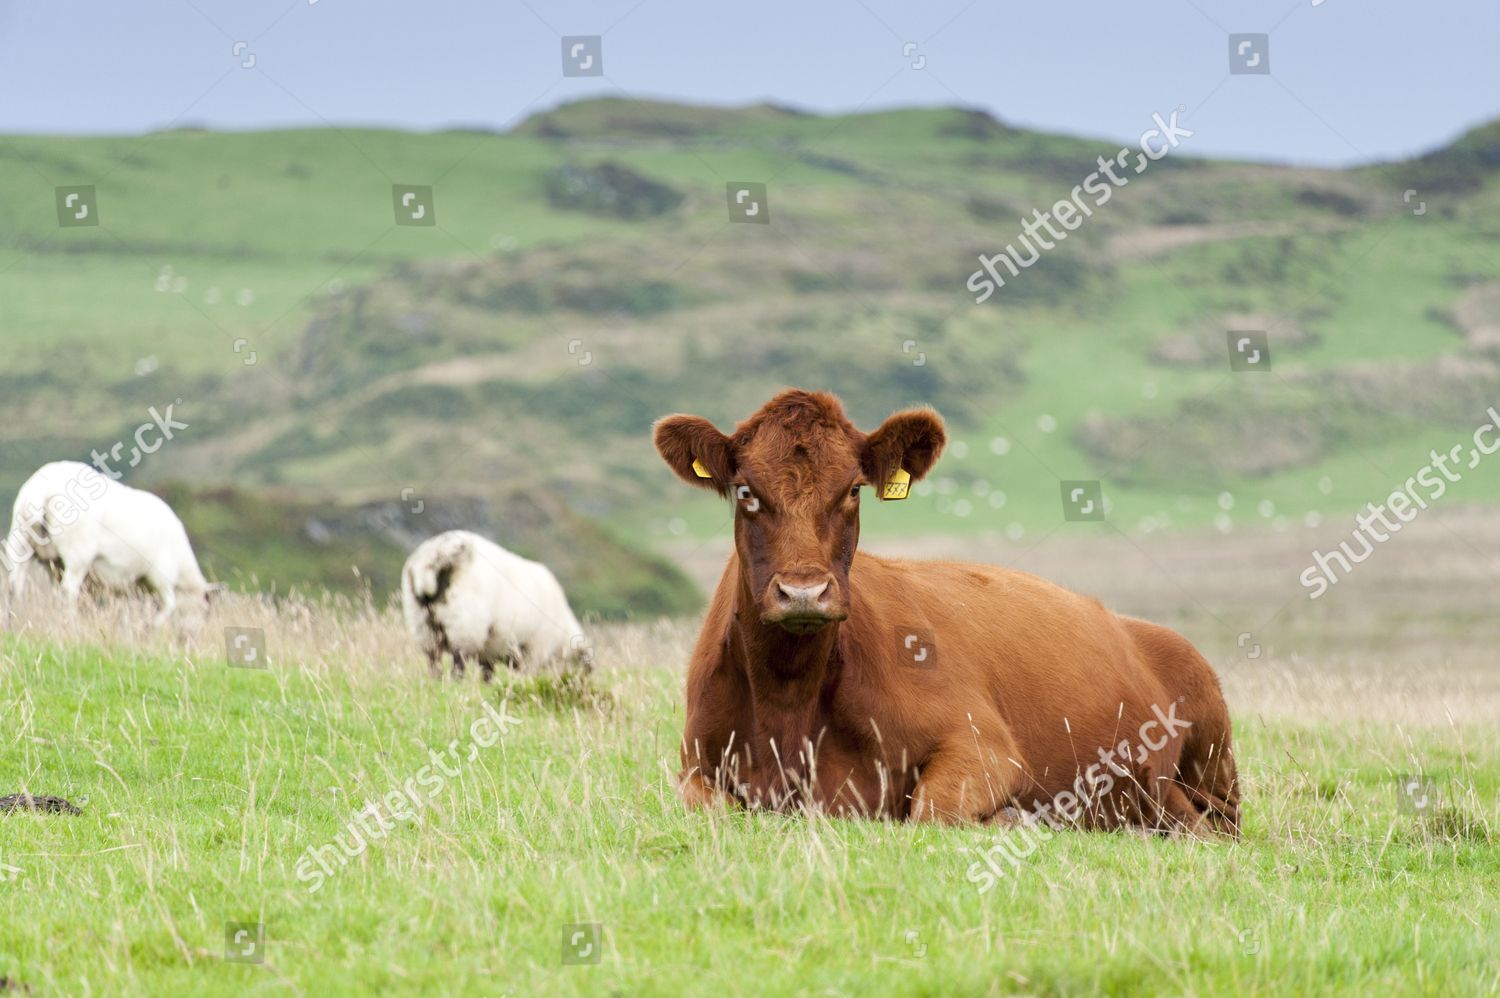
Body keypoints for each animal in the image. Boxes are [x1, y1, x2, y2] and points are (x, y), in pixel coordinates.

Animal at [4, 461, 222, 626]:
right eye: (205, 611)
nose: (188, 639)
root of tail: (41, 491)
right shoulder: (161, 576)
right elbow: (170, 605)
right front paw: (151, 627)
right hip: (77, 554)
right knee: (68, 591)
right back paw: (71, 623)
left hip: (20, 540)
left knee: (15, 585)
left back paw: (15, 623)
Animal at [401, 530, 592, 681]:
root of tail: (433, 557)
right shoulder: (535, 650)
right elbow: (524, 674)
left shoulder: (490, 649)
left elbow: (487, 672)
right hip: (464, 624)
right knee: (458, 661)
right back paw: (456, 683)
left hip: (423, 625)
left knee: (433, 660)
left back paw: (436, 681)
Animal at [653, 389, 1239, 835]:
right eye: (746, 491)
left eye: (853, 490)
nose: (803, 591)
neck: (788, 705)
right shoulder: (692, 763)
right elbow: (705, 805)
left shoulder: (984, 744)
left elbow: (932, 809)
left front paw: (1014, 819)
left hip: (1211, 764)